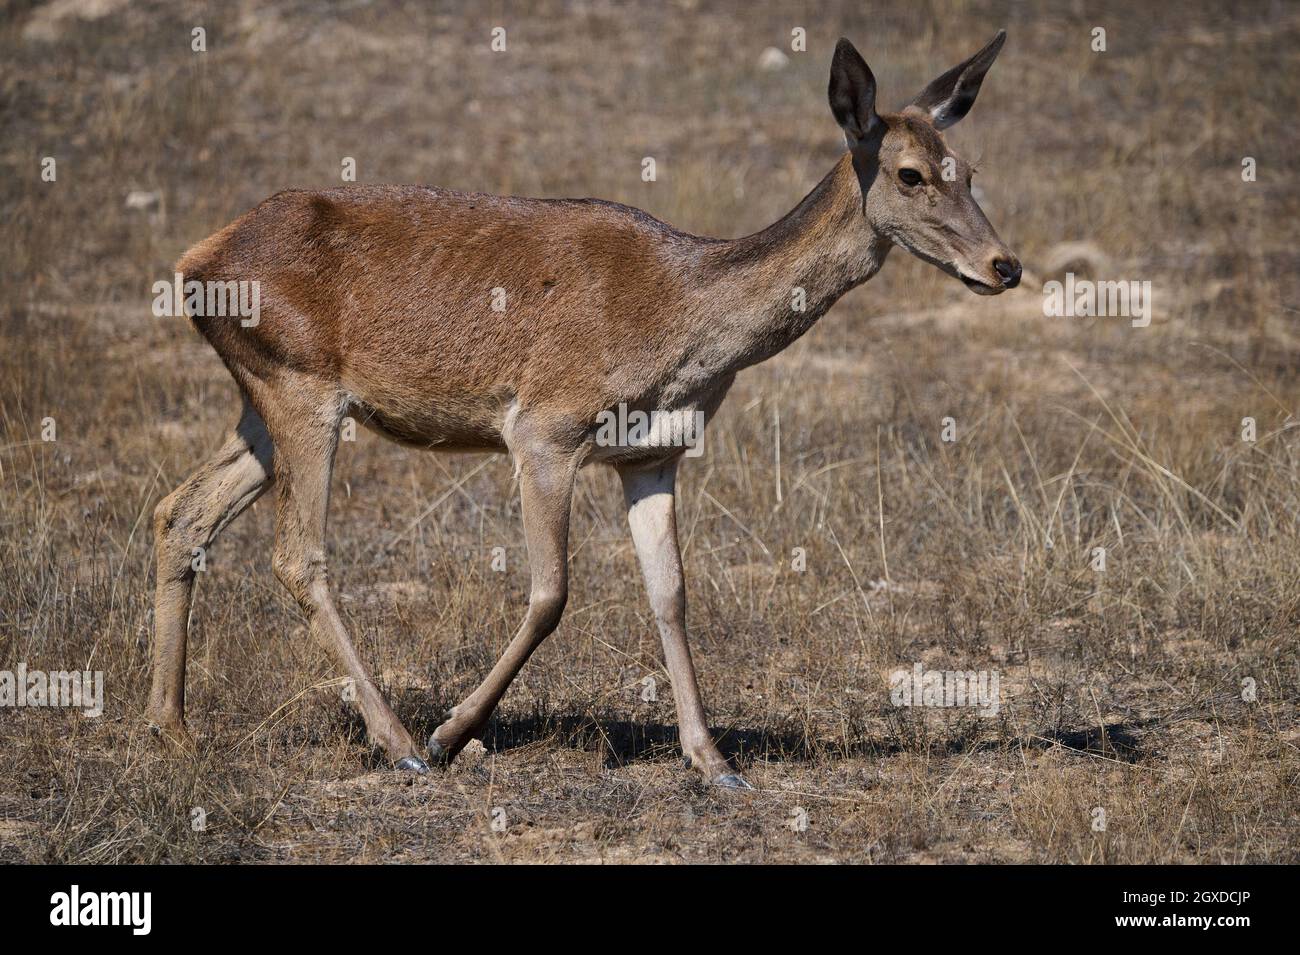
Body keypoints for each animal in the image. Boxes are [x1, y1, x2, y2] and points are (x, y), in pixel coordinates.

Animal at [148, 32, 1020, 789]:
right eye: (910, 173)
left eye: (971, 169)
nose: (1005, 264)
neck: (683, 324)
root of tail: (196, 264)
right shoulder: (544, 427)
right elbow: (551, 591)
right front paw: (453, 731)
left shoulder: (654, 453)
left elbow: (671, 593)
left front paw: (713, 760)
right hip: (302, 386)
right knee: (296, 554)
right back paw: (399, 741)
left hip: (261, 397)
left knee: (180, 511)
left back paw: (171, 726)